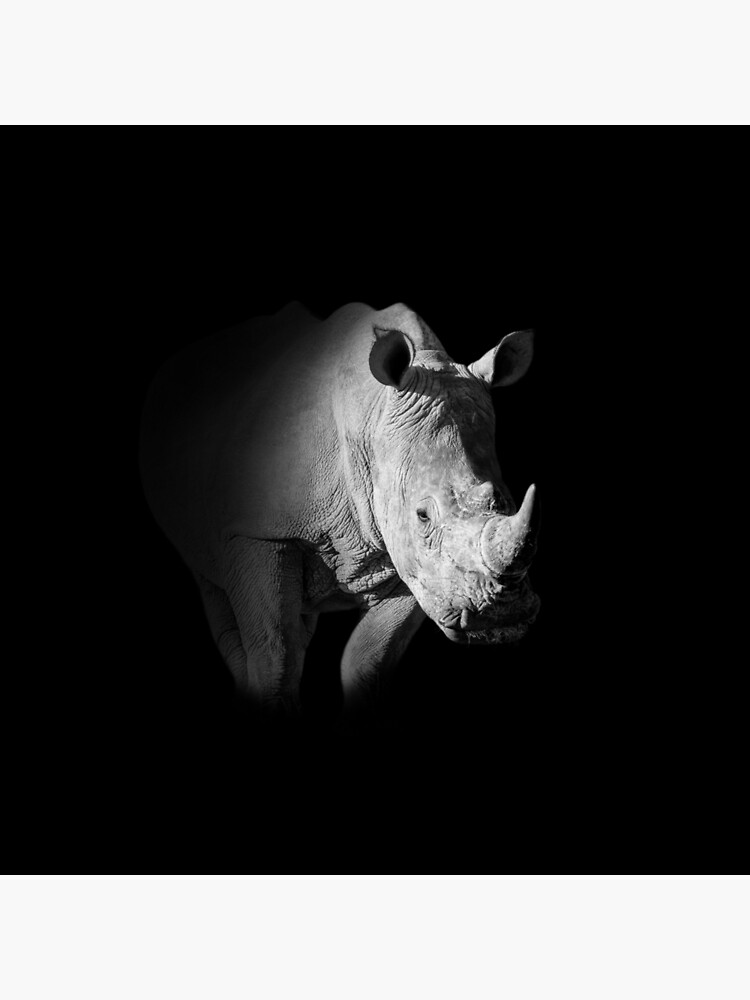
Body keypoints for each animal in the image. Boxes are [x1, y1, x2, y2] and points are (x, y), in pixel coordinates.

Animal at [139, 301, 540, 716]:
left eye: (504, 500)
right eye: (423, 516)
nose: (501, 617)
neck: (373, 417)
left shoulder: (411, 560)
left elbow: (367, 661)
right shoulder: (259, 533)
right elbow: (275, 657)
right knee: (216, 589)